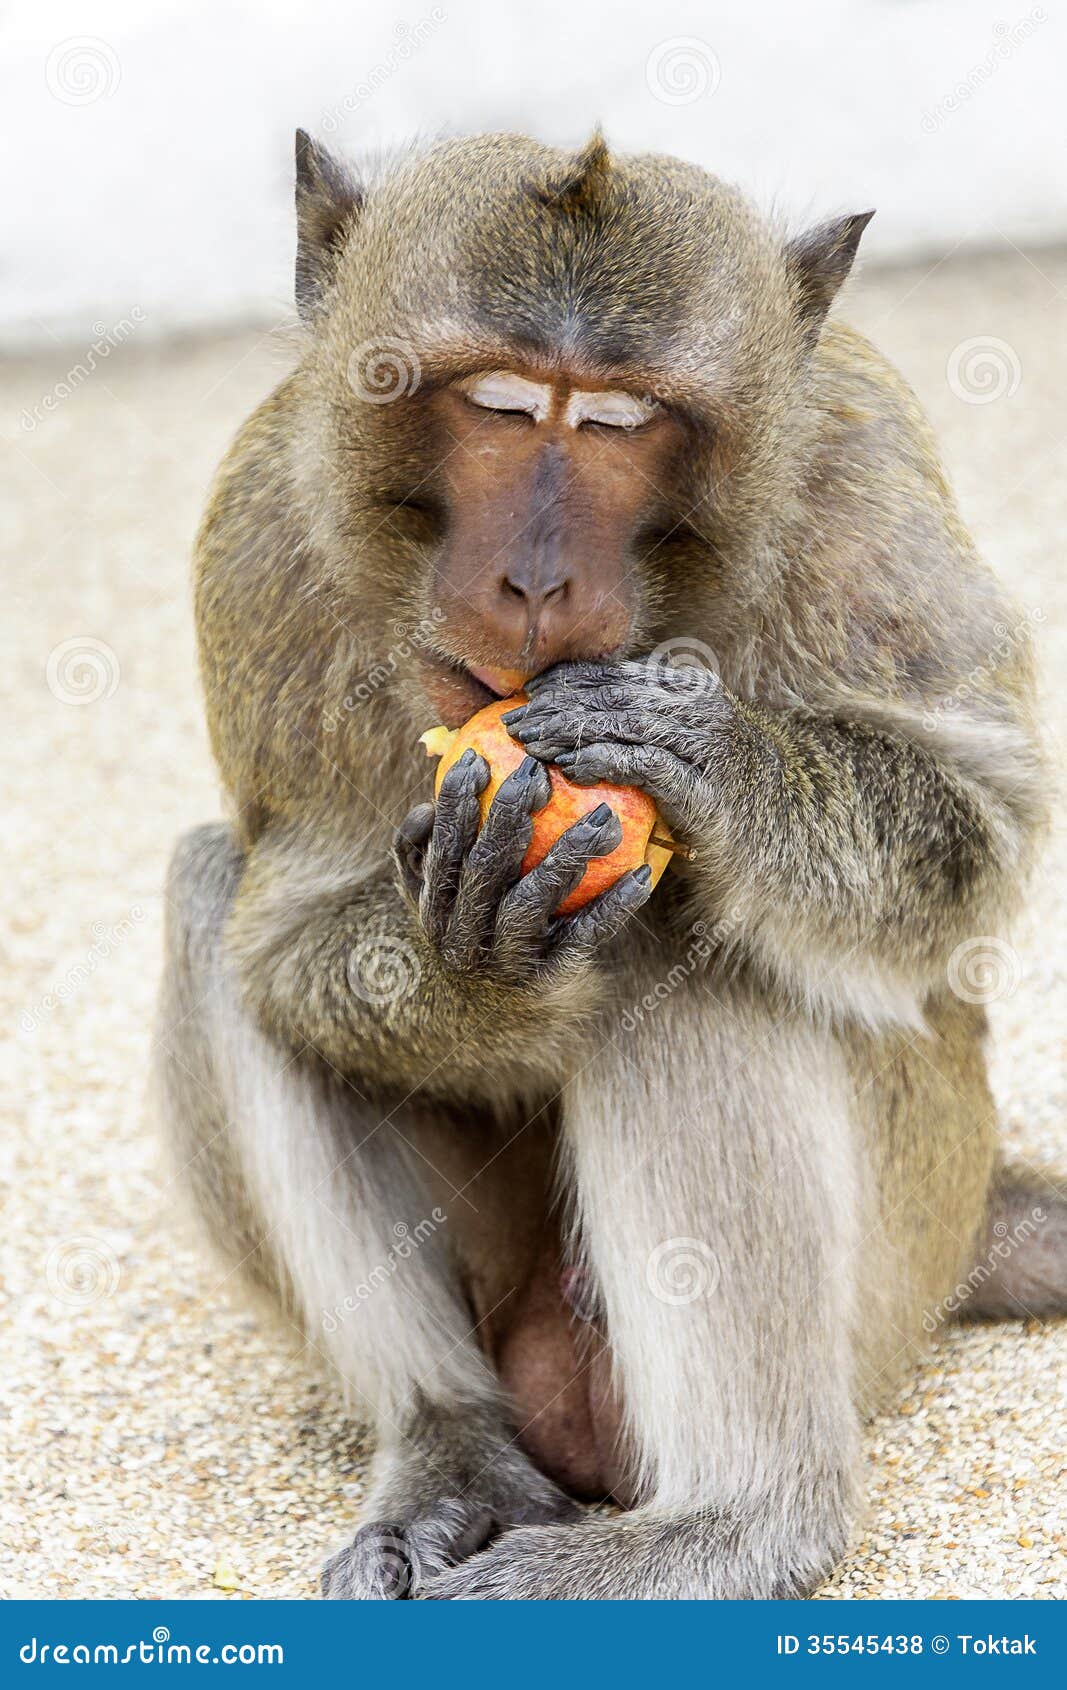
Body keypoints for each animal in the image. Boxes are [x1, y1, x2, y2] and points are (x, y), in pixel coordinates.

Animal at [154, 127, 1067, 1600]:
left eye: (620, 424)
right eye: (498, 404)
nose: (532, 580)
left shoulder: (860, 468)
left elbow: (974, 819)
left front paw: (712, 760)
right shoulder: (260, 538)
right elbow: (277, 933)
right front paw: (471, 964)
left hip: (895, 1252)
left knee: (682, 952)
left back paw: (739, 1521)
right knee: (206, 895)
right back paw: (448, 1445)